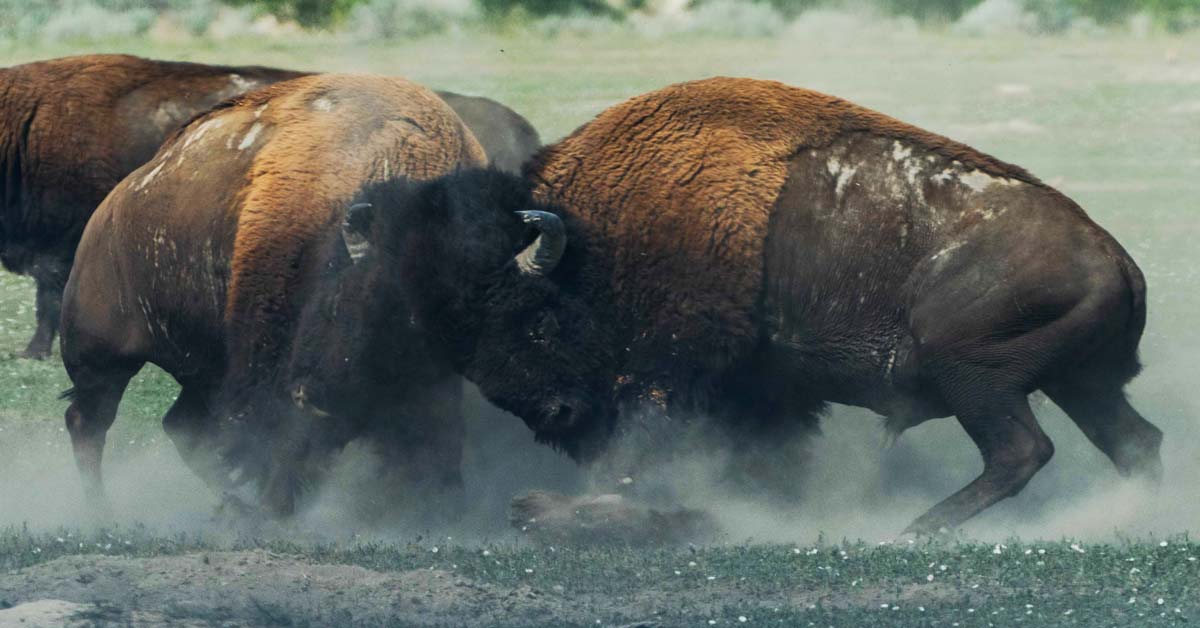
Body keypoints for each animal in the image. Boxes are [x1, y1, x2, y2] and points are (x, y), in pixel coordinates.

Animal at [60, 74, 488, 518]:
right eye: (333, 306)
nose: (314, 396)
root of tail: (110, 207)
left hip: (203, 369)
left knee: (180, 427)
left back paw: (236, 507)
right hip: (101, 358)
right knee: (88, 422)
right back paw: (102, 511)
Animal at [317, 77, 1161, 536]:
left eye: (531, 318)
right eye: (453, 341)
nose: (554, 415)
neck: (596, 239)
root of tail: (1115, 257)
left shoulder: (670, 377)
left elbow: (656, 445)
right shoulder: (767, 391)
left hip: (976, 378)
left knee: (1022, 450)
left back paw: (912, 530)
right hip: (1079, 384)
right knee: (1132, 442)